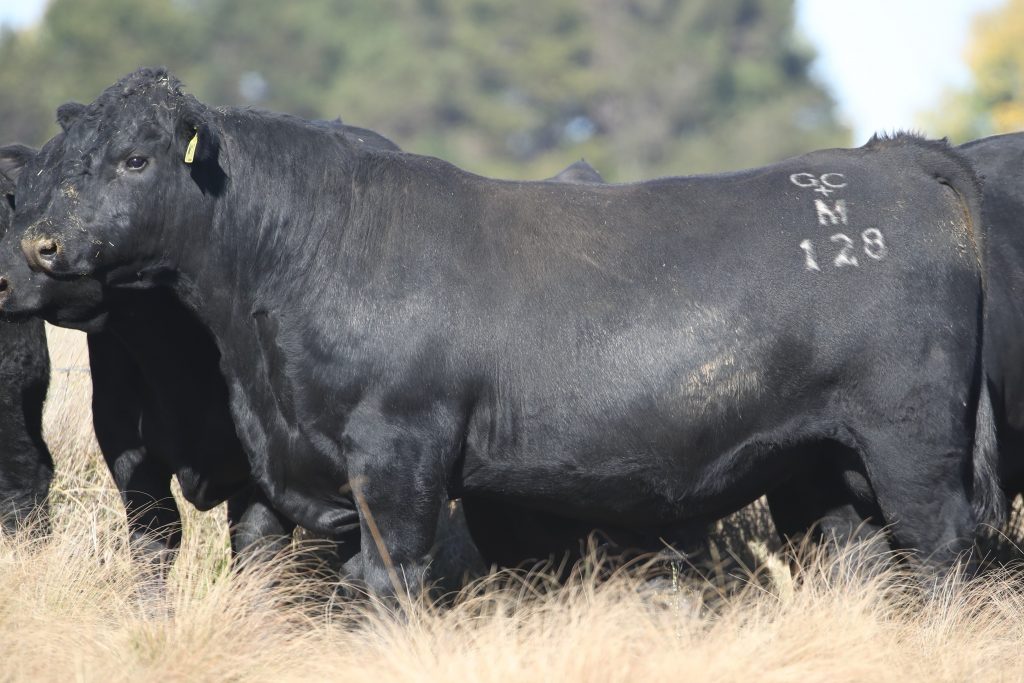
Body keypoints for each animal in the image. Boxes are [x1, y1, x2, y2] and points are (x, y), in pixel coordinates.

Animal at [0, 69, 1000, 596]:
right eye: (58, 162)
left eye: (136, 158)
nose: (40, 243)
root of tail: (890, 160)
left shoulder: (398, 448)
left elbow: (391, 573)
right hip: (826, 464)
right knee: (861, 557)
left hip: (912, 443)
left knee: (940, 548)